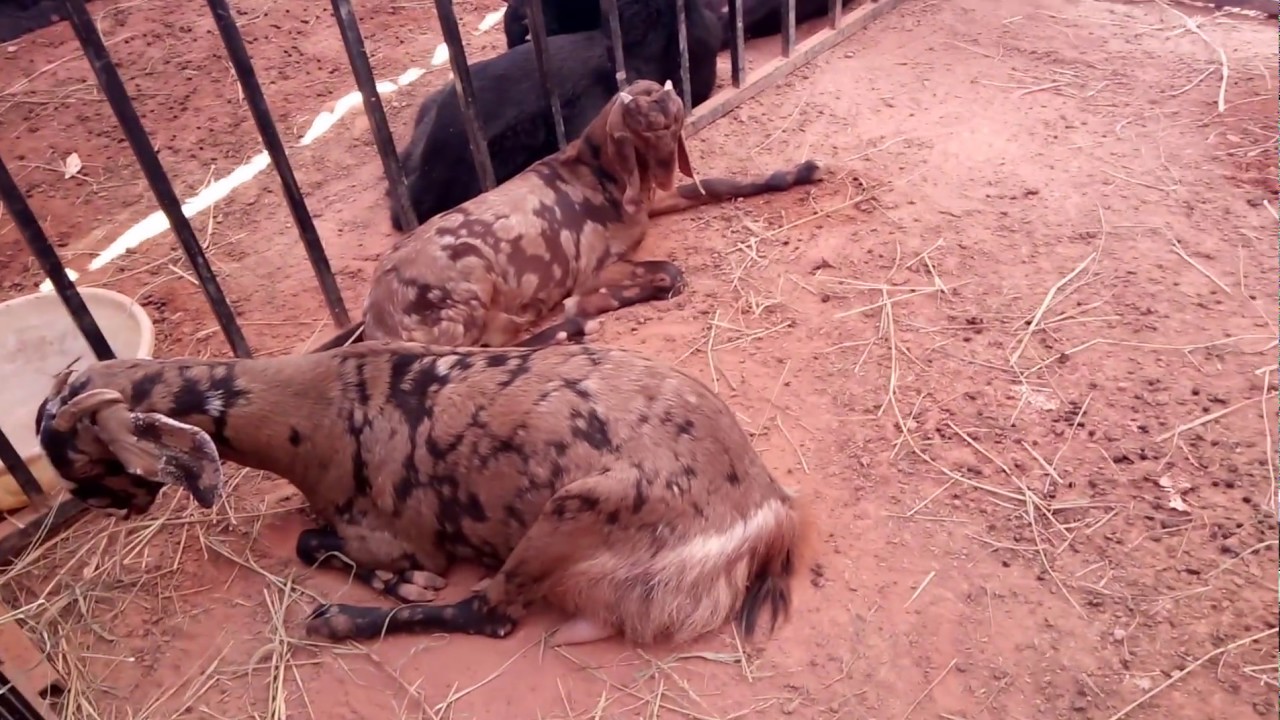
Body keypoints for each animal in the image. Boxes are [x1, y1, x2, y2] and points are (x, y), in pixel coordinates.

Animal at [37, 340, 815, 647]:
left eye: (79, 467)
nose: (113, 506)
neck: (314, 414)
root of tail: (769, 513)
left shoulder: (384, 529)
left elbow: (315, 541)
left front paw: (399, 580)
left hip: (577, 508)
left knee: (488, 612)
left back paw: (337, 619)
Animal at [325, 80, 824, 351]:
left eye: (676, 119)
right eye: (639, 125)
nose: (665, 167)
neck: (598, 173)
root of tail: (377, 321)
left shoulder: (649, 203)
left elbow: (719, 185)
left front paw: (801, 171)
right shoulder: (590, 266)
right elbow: (668, 271)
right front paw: (592, 303)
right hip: (466, 288)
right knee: (487, 348)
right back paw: (572, 324)